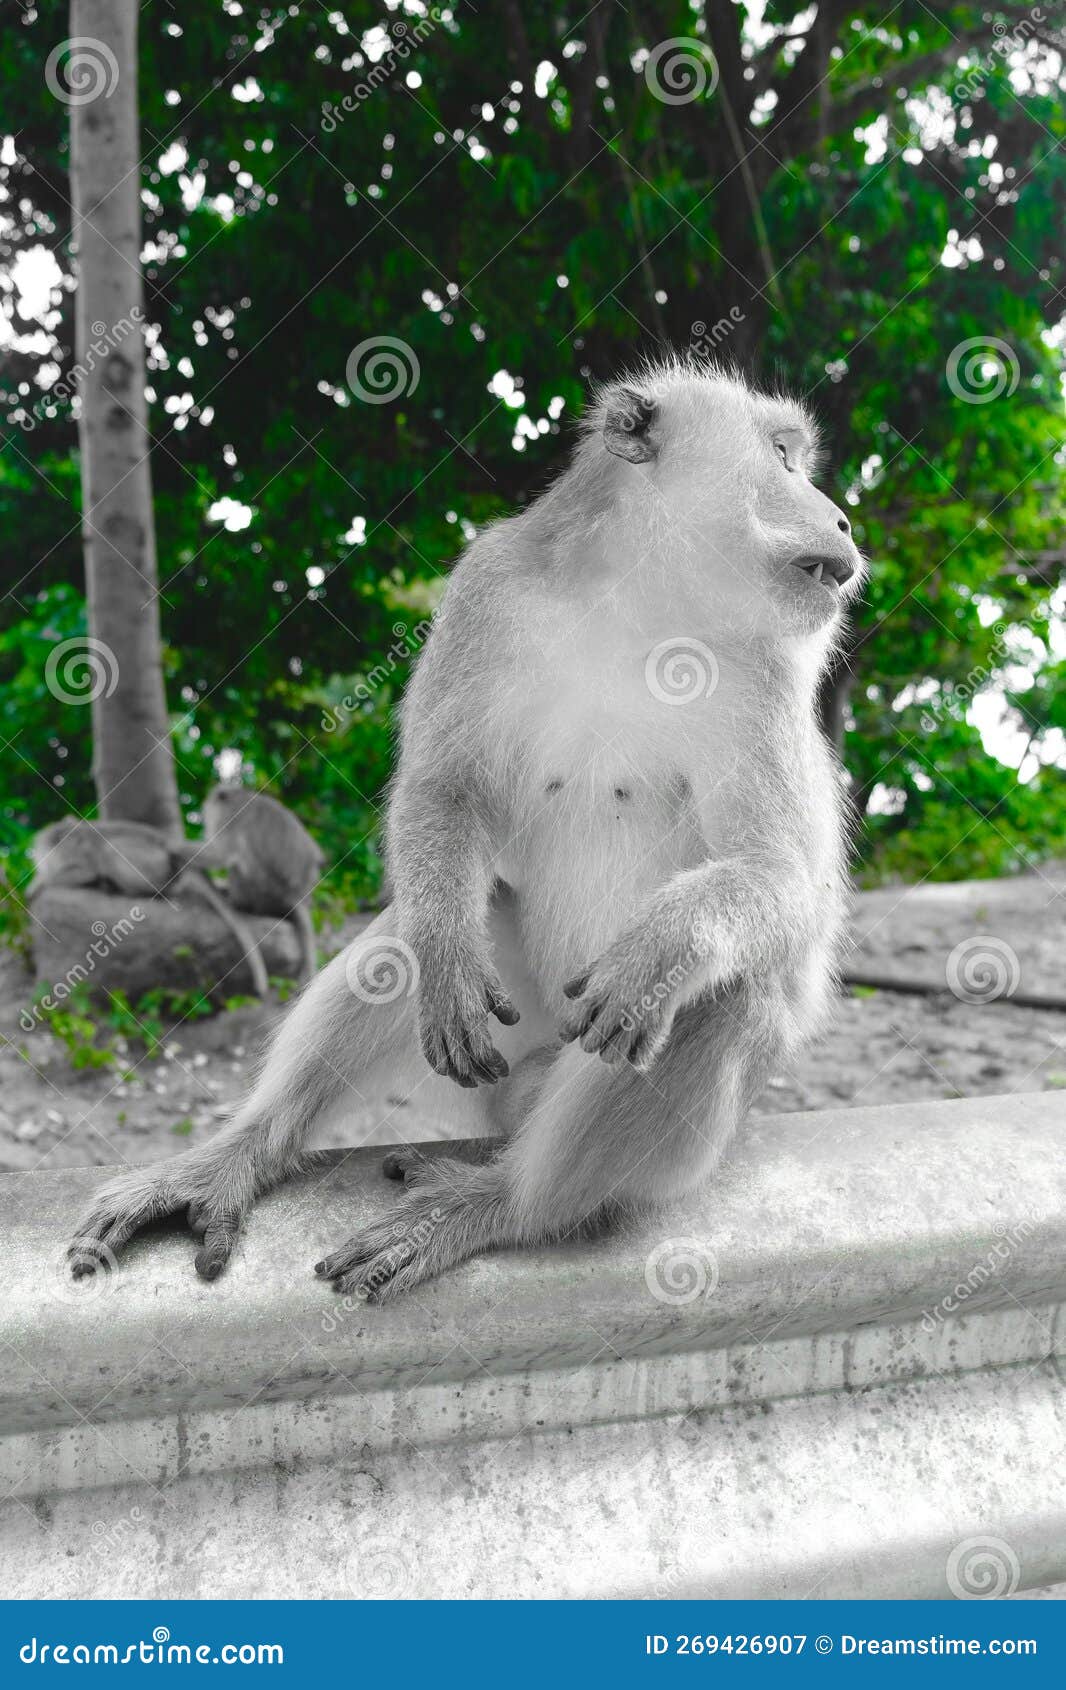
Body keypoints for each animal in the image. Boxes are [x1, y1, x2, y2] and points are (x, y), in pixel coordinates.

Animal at [31, 815, 270, 997]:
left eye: (77, 839)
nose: (80, 840)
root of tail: (168, 846)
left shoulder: (80, 854)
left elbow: (85, 869)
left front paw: (41, 884)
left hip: (153, 862)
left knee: (109, 852)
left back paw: (140, 890)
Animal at [200, 785, 324, 988]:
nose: (205, 815)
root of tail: (294, 896)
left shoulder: (229, 817)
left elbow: (223, 855)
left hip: (260, 891)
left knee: (240, 862)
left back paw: (238, 903)